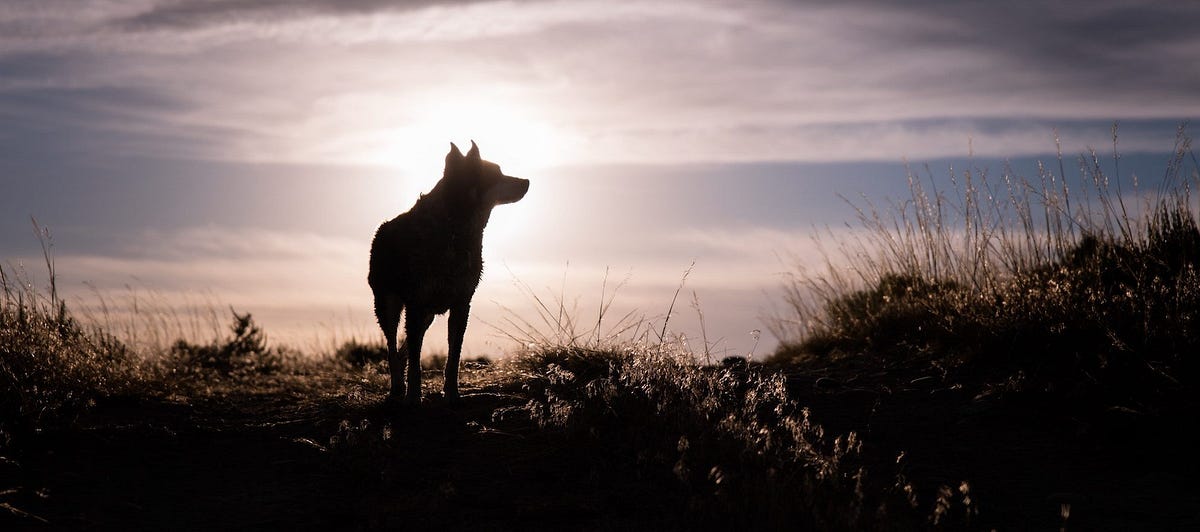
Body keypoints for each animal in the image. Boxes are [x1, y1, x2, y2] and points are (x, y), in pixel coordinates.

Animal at [368, 141, 529, 405]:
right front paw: (413, 397)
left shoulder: (461, 304)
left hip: (427, 316)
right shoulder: (416, 303)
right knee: (393, 346)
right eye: (497, 173)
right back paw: (397, 388)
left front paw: (452, 395)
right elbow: (416, 362)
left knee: (405, 347)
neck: (454, 229)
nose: (527, 181)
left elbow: (453, 358)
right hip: (388, 306)